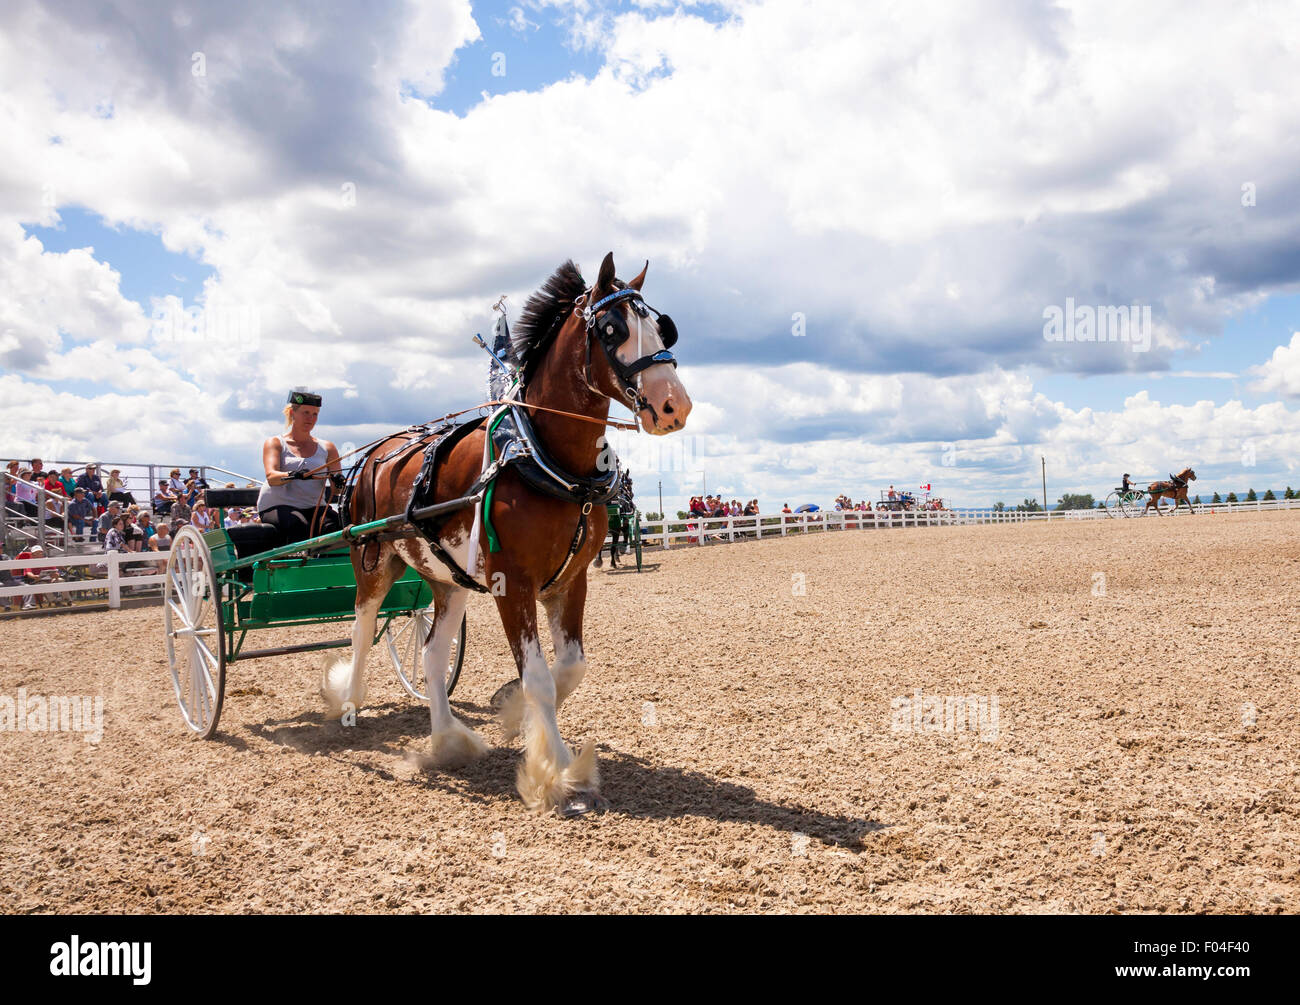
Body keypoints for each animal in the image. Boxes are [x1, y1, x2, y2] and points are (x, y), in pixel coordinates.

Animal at [321, 253, 691, 815]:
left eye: (662, 325)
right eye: (611, 329)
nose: (674, 405)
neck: (545, 457)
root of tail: (374, 455)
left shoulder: (570, 581)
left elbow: (570, 668)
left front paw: (511, 710)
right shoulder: (509, 583)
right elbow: (539, 677)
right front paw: (557, 773)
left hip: (448, 581)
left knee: (432, 656)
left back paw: (447, 740)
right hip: (375, 561)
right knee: (362, 630)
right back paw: (350, 702)